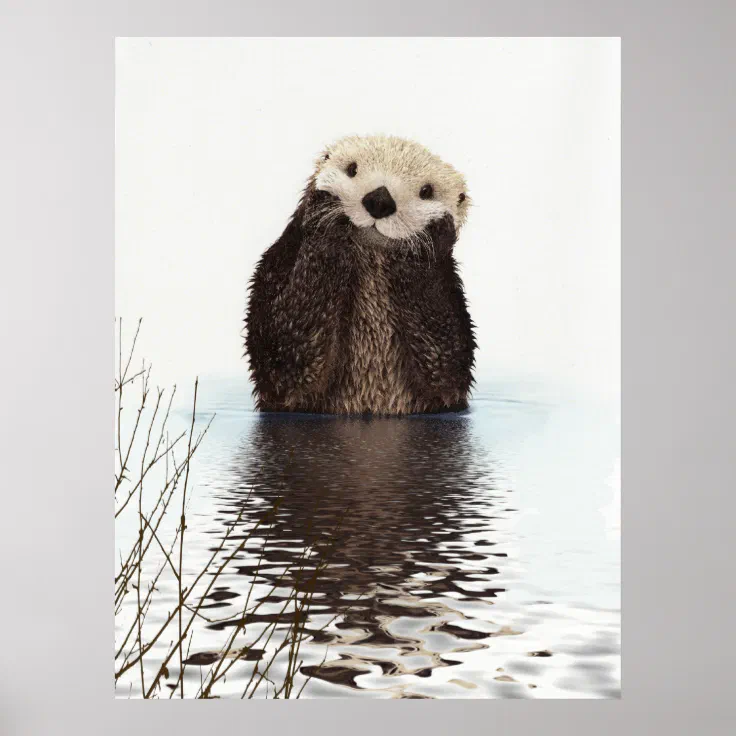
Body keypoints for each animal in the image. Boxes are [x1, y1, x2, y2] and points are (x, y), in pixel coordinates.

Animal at [245, 134, 476, 415]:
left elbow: (446, 366)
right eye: (352, 169)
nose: (380, 200)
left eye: (426, 191)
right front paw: (327, 216)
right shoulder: (277, 266)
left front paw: (425, 240)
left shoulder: (451, 301)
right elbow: (285, 355)